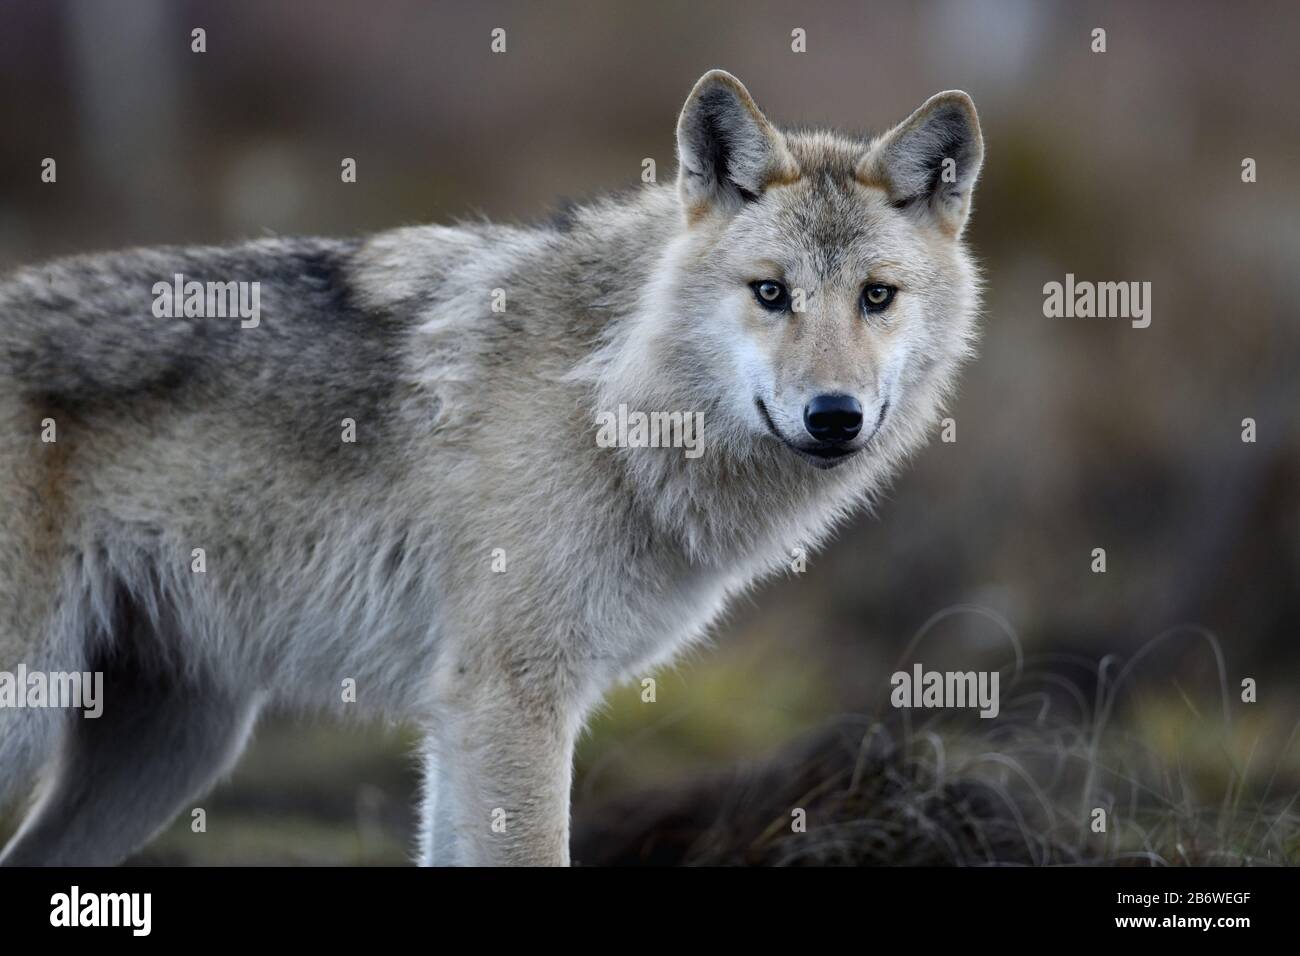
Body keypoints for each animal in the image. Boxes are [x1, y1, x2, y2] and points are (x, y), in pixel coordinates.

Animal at [0, 70, 983, 866]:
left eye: (877, 297)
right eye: (772, 293)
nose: (834, 415)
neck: (611, 401)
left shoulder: (464, 717)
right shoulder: (509, 700)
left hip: (177, 745)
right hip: (38, 717)